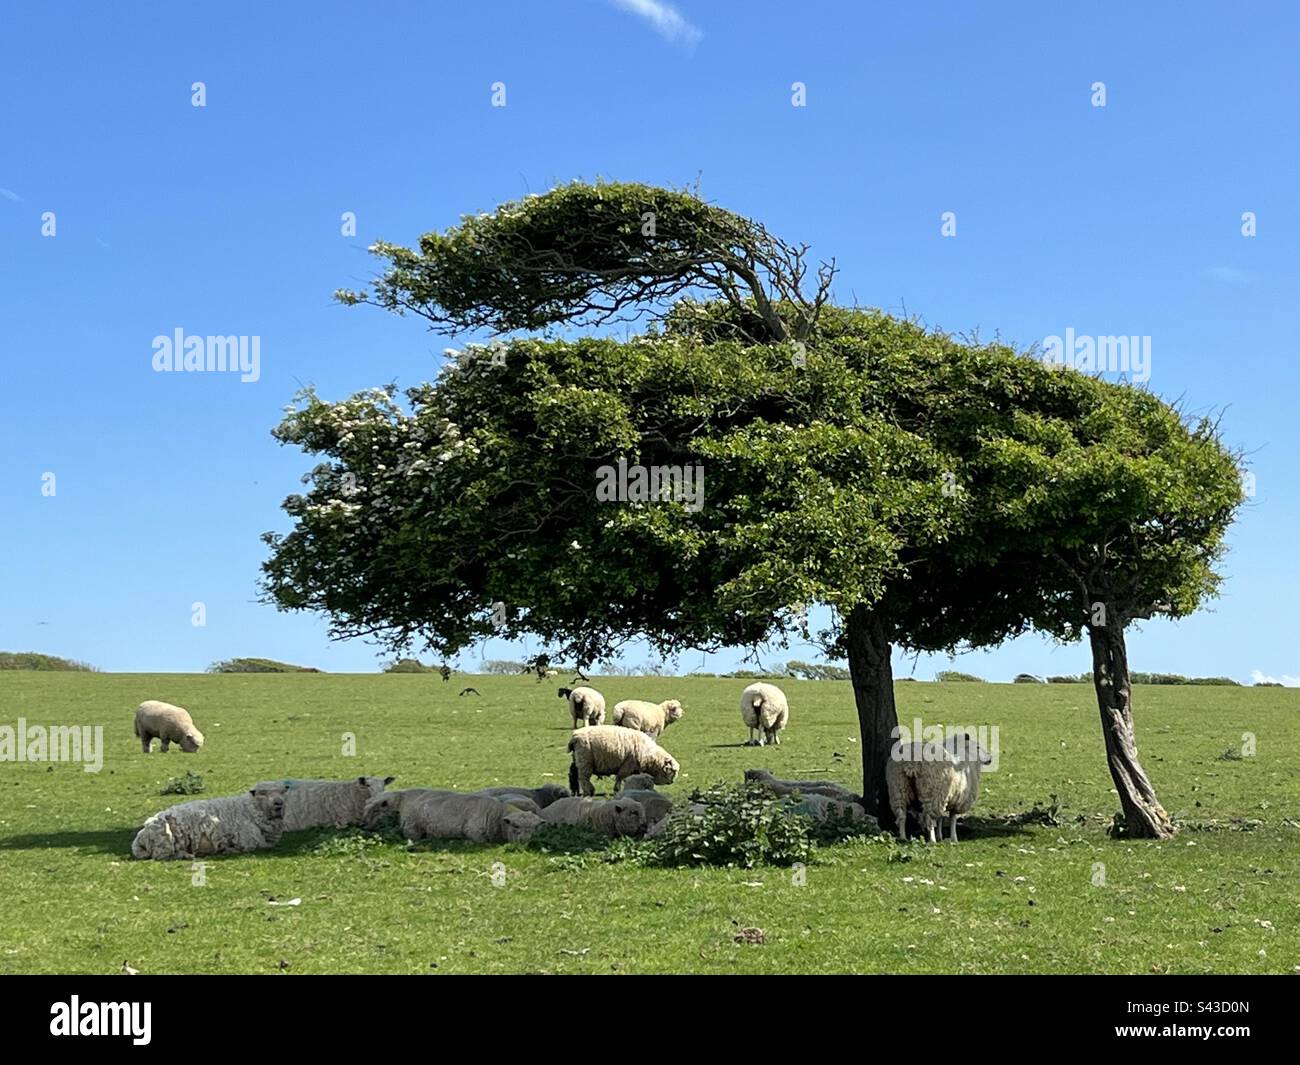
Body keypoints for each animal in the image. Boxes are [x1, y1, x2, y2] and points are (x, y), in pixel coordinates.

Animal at [131, 783, 287, 860]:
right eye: (263, 793)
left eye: (282, 792)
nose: (279, 804)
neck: (248, 809)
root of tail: (139, 839)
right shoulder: (249, 841)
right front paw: (228, 850)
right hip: (164, 839)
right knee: (161, 856)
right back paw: (186, 856)